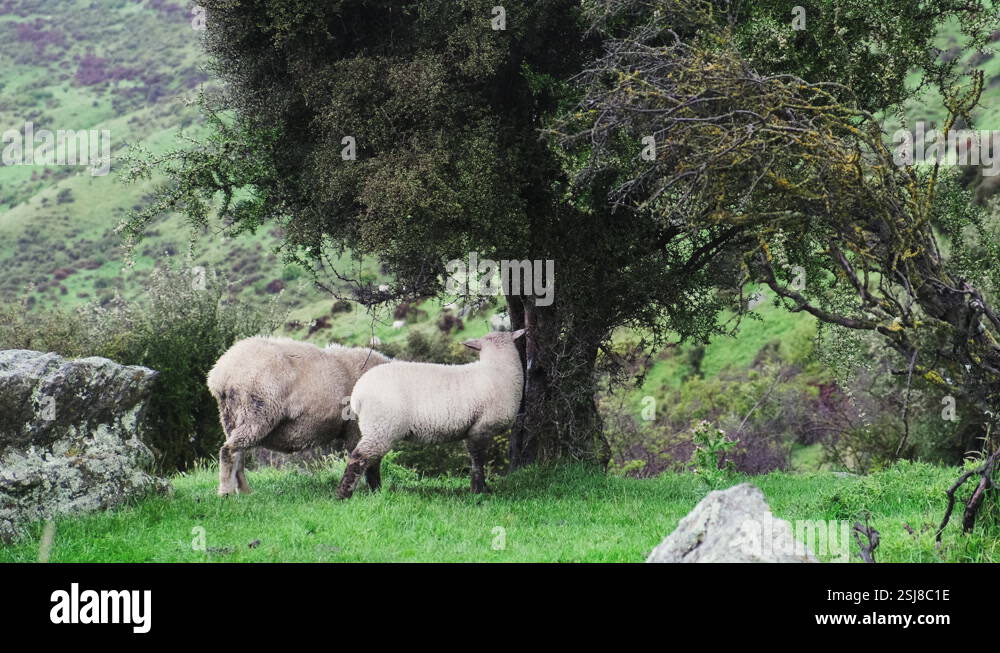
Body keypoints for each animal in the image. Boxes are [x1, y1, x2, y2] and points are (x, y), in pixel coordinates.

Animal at [207, 336, 390, 496]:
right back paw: (226, 492)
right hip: (255, 413)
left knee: (238, 454)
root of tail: (220, 374)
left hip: (231, 417)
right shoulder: (359, 428)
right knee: (228, 451)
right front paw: (375, 491)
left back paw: (245, 492)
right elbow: (369, 462)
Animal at [336, 329, 526, 499]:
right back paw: (343, 495)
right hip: (382, 425)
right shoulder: (480, 428)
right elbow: (478, 460)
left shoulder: (474, 430)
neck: (497, 370)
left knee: (372, 460)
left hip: (377, 428)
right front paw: (480, 491)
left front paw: (477, 488)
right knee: (360, 457)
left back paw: (375, 492)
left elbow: (475, 461)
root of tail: (358, 392)